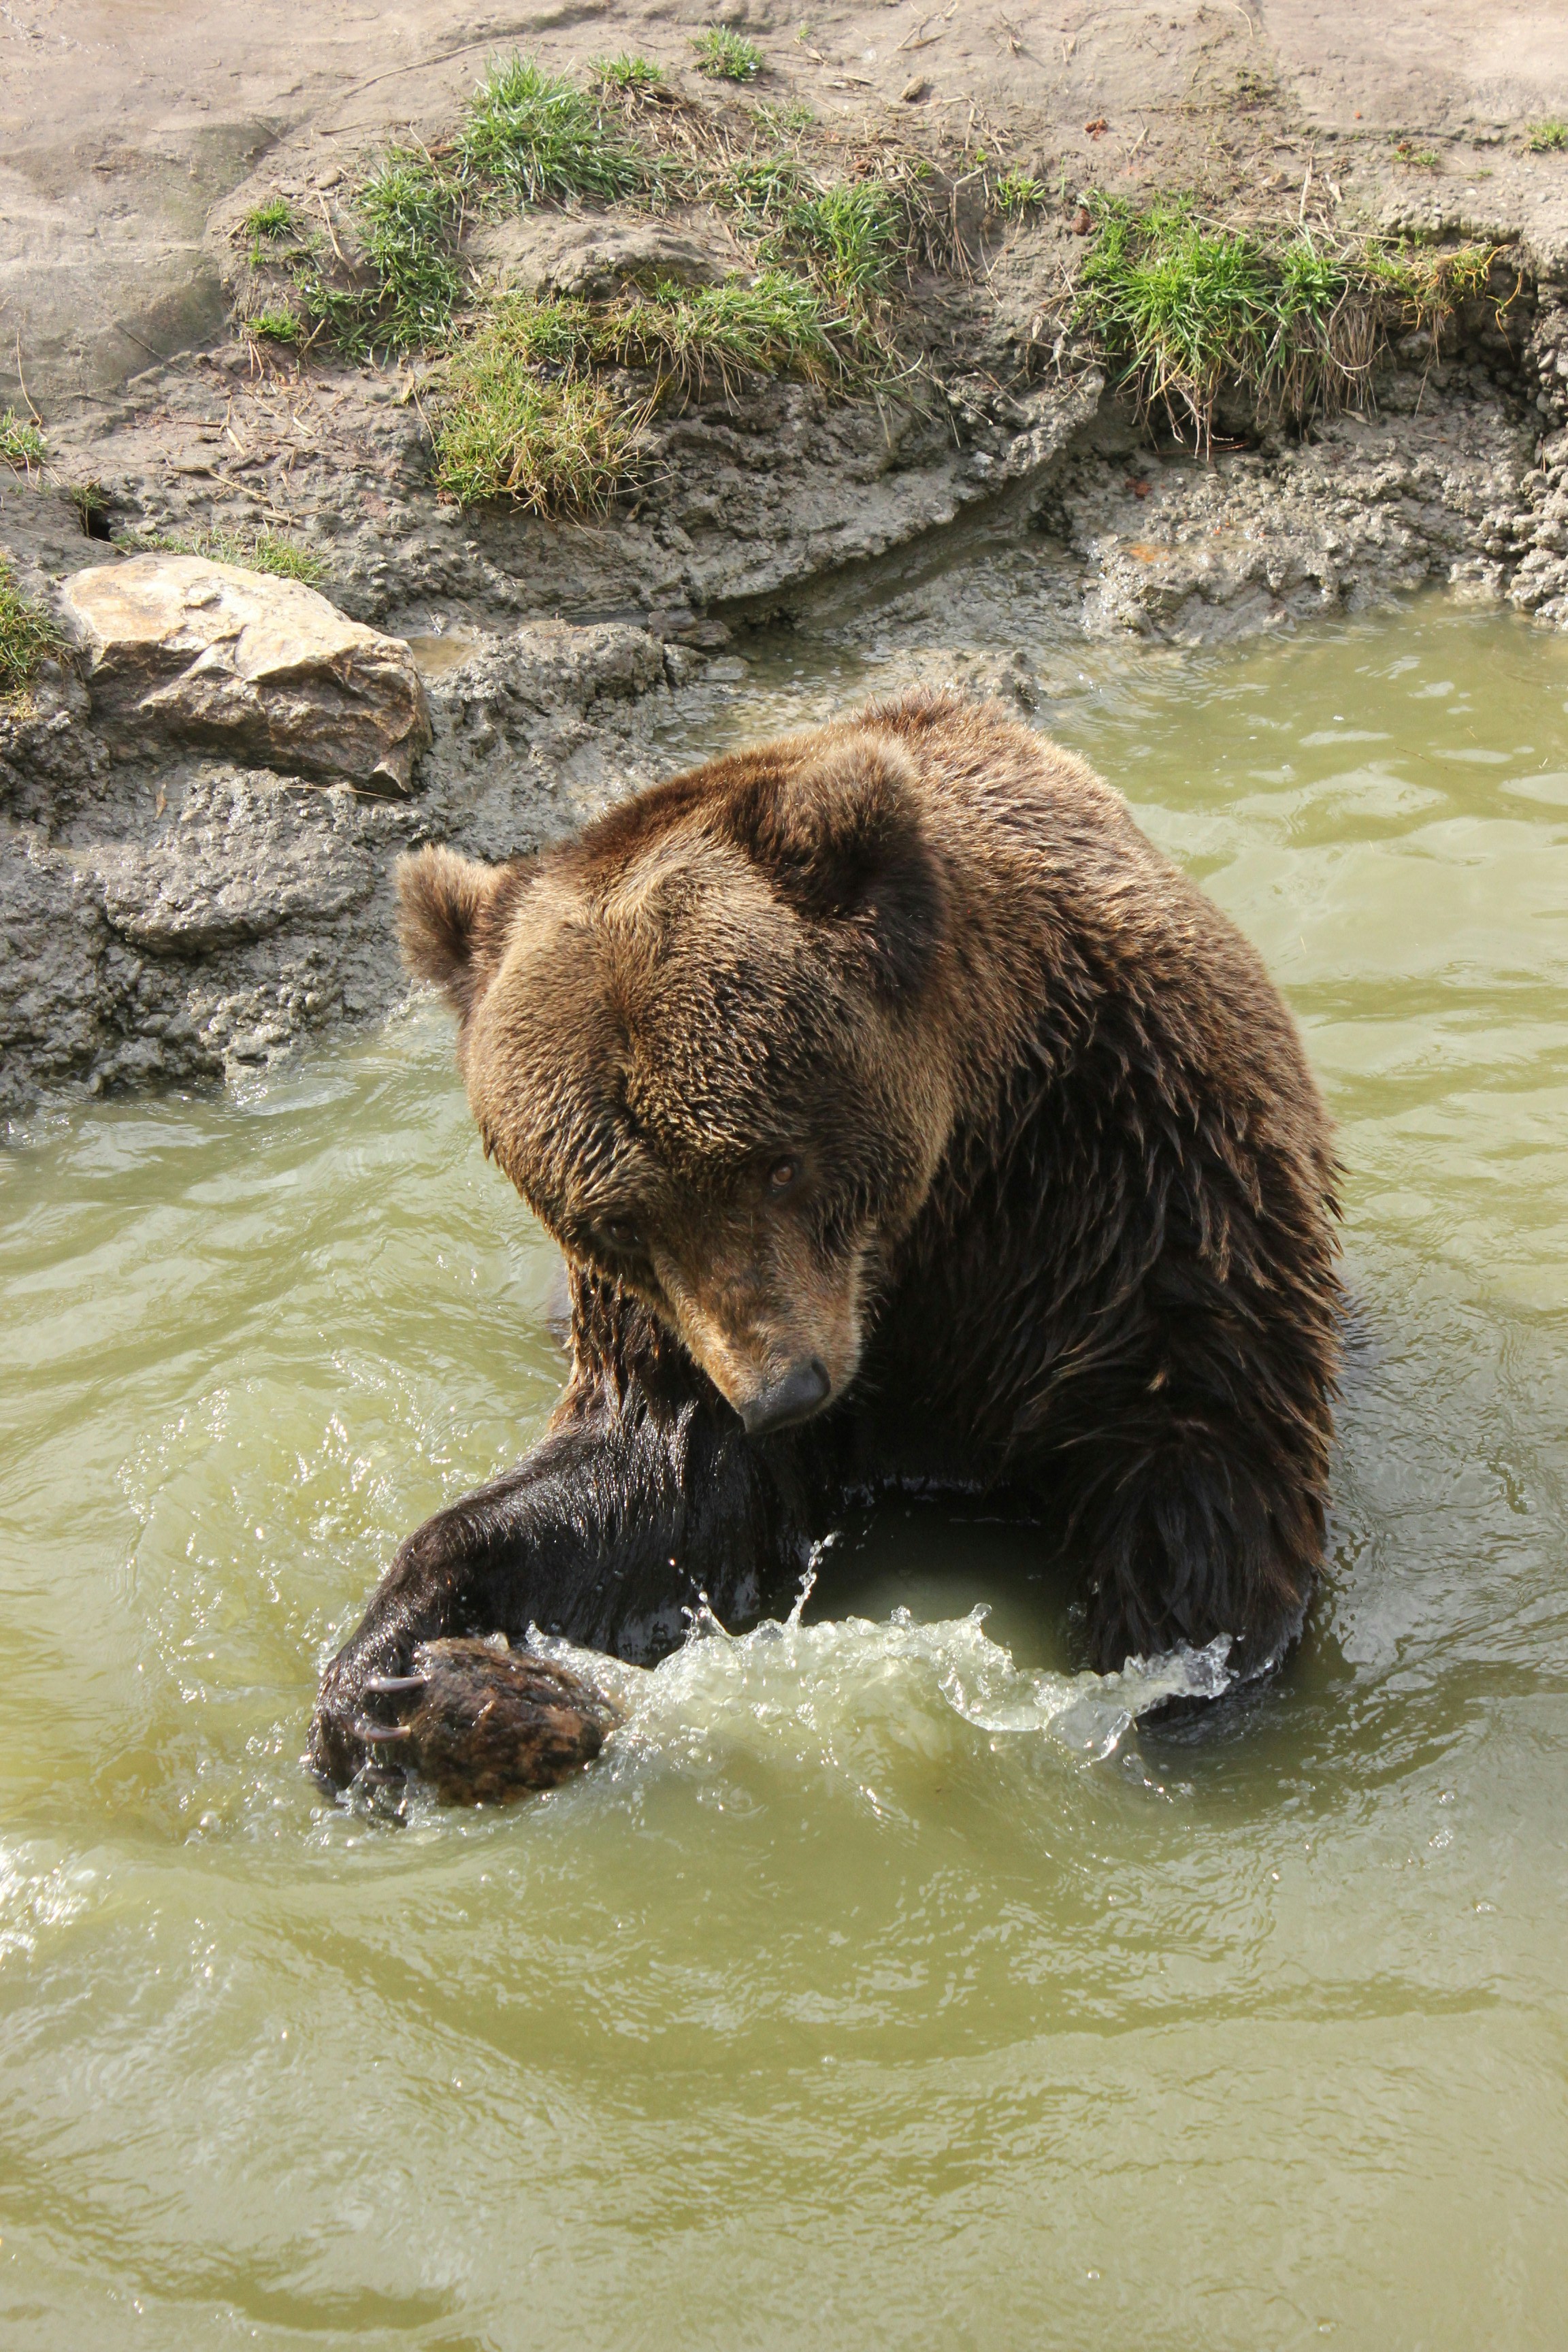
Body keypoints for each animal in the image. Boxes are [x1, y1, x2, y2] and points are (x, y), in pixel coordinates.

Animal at [309, 687, 1341, 1801]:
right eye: (617, 1221)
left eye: (776, 1164)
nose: (784, 1391)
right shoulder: (669, 1325)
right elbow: (652, 1489)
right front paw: (394, 1670)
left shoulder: (1132, 1178)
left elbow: (1195, 1460)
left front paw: (1163, 1675)